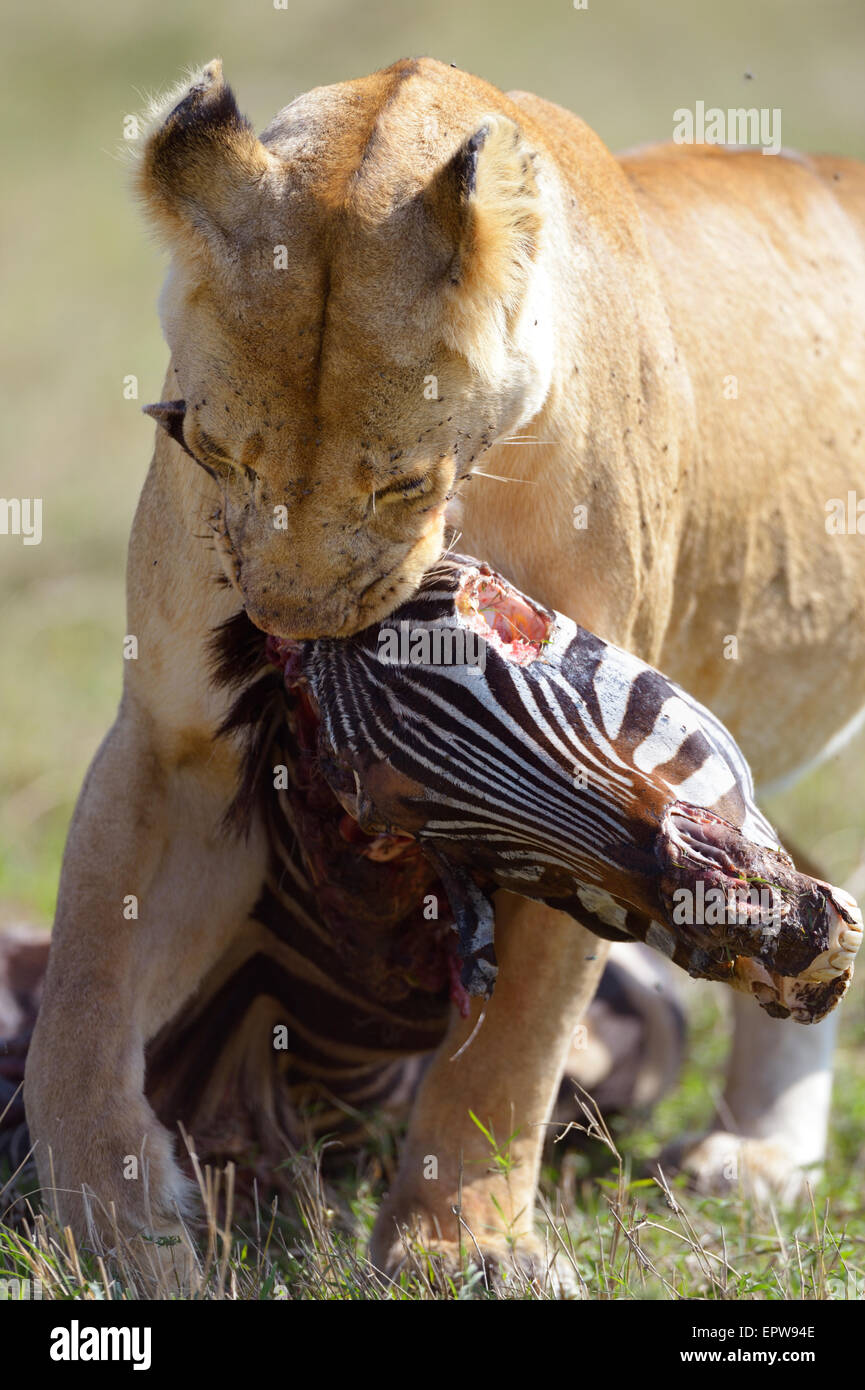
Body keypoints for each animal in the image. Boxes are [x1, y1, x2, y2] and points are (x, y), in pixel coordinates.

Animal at [24, 56, 865, 1288]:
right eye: (214, 453)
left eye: (401, 484)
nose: (289, 633)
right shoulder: (178, 748)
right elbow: (83, 999)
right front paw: (114, 1230)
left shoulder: (588, 781)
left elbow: (506, 1053)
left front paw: (461, 1246)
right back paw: (757, 1145)